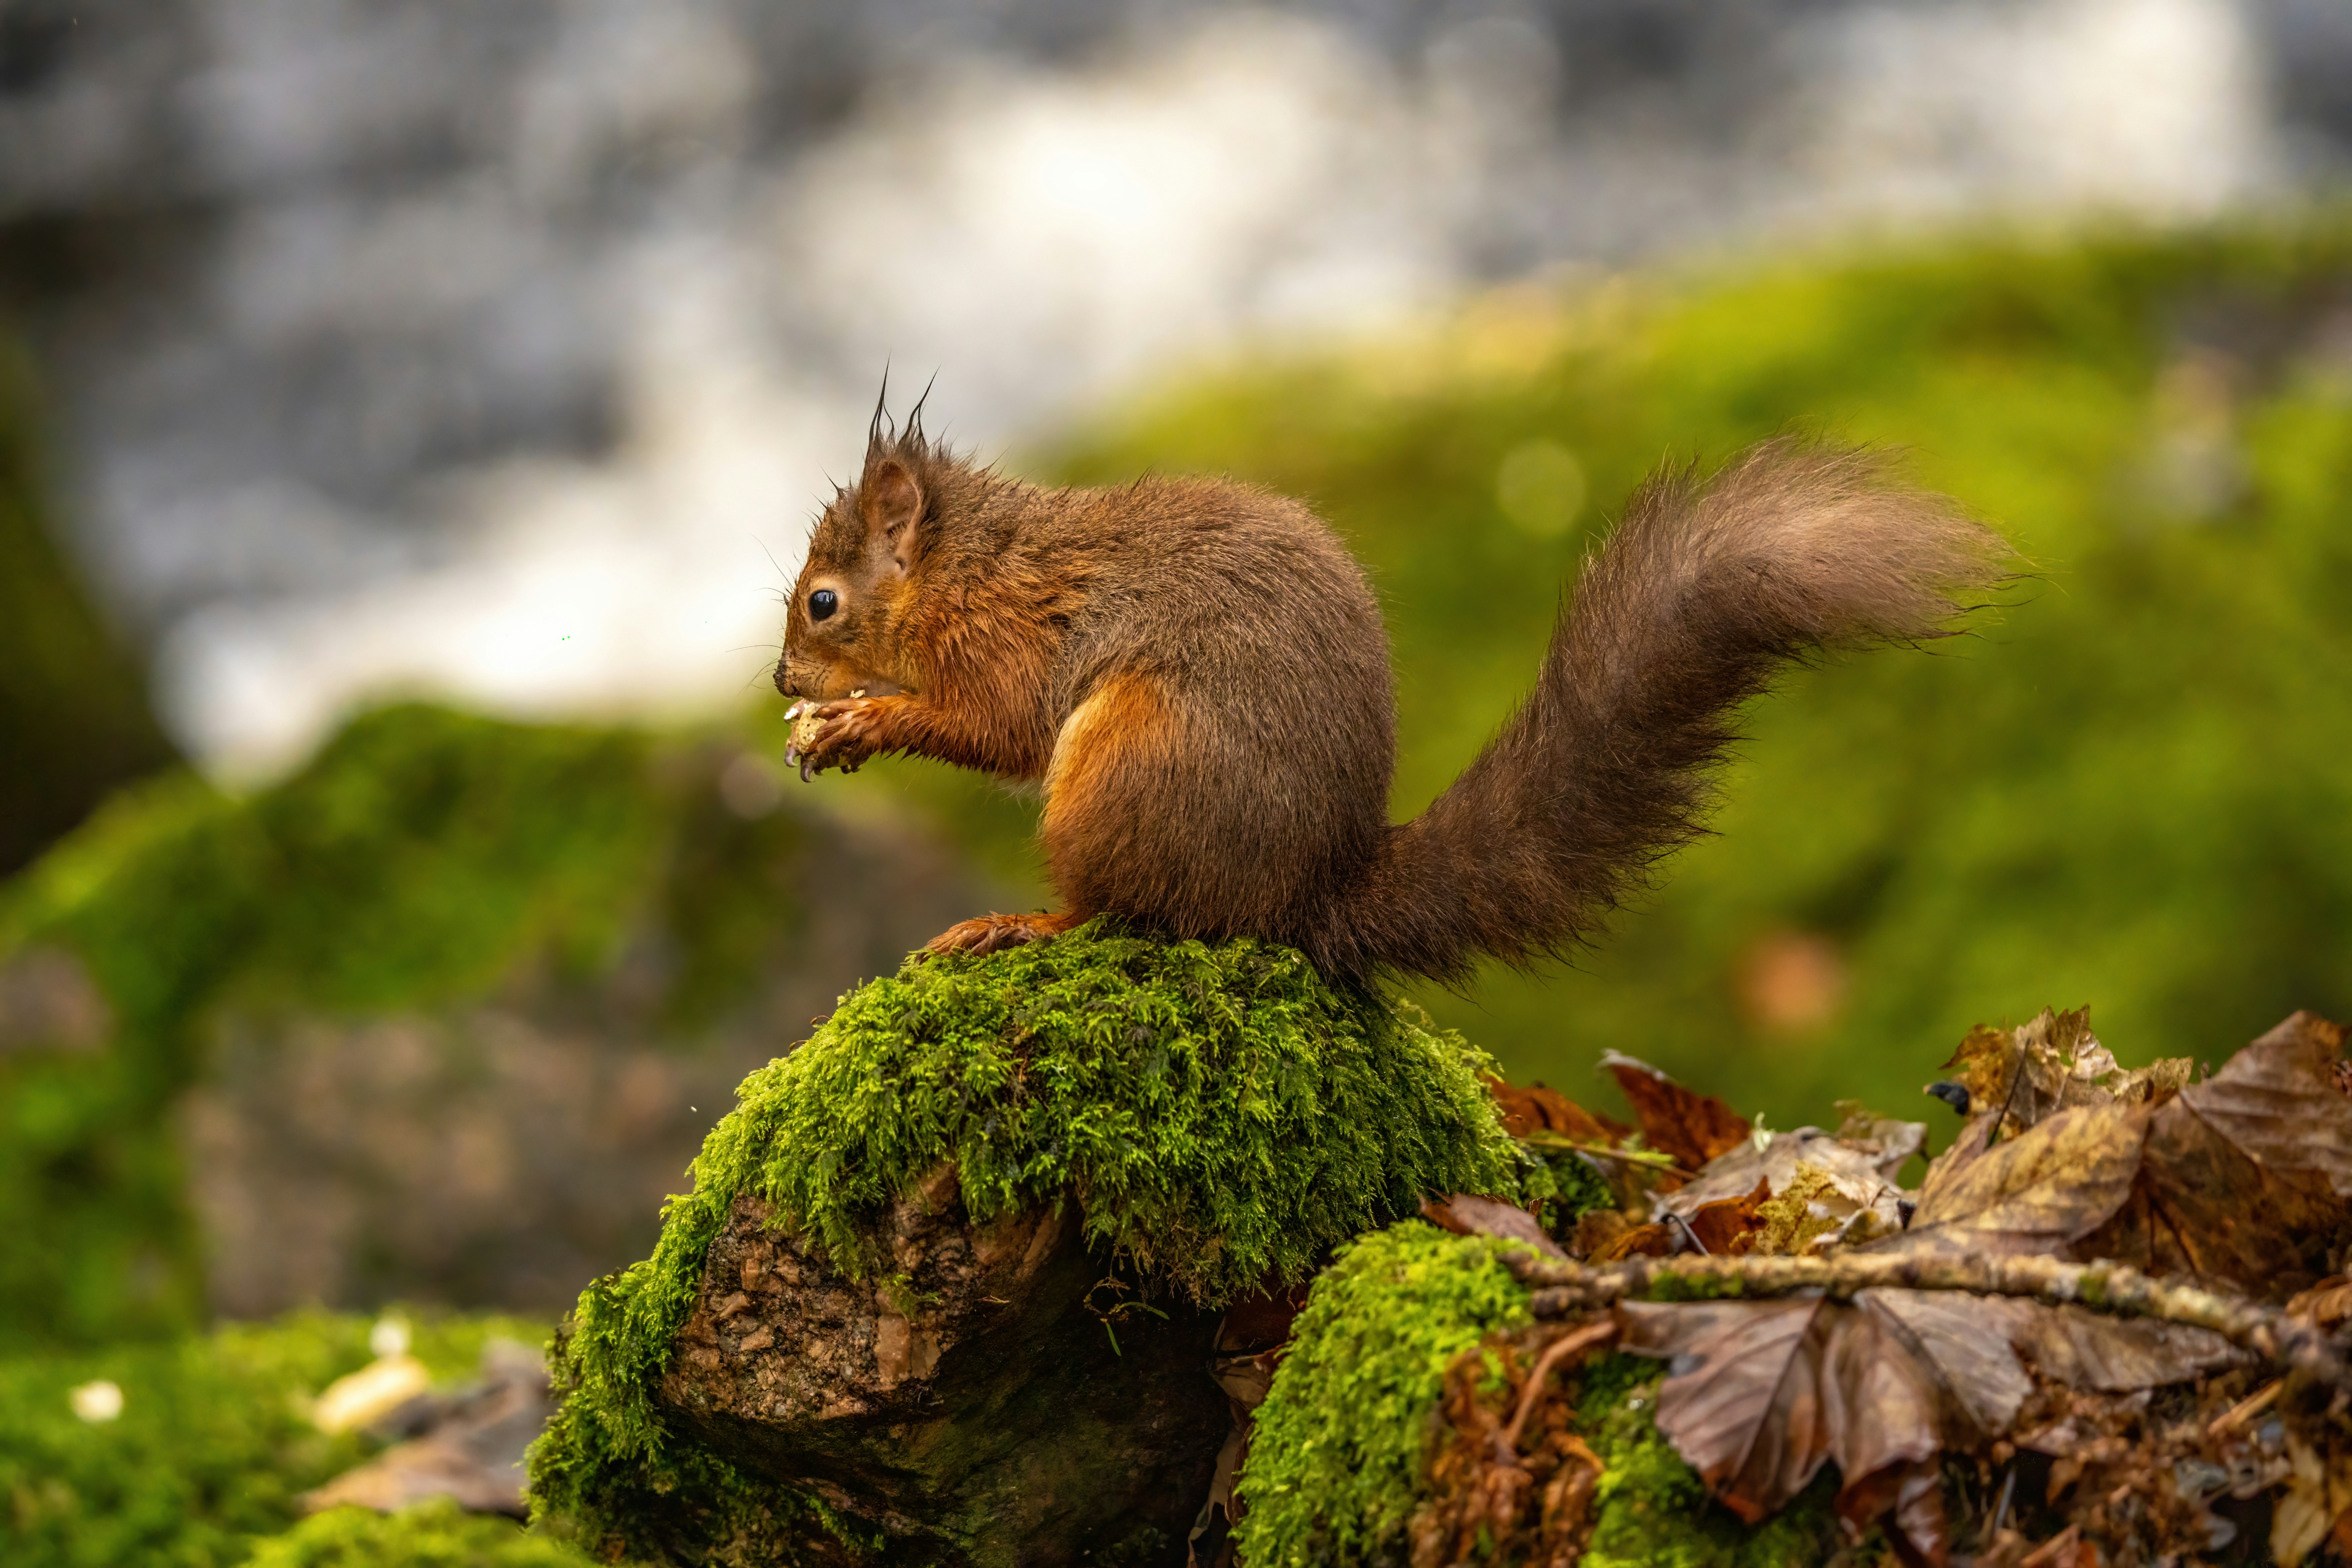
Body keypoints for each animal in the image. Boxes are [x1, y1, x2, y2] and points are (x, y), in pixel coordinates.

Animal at [773, 406, 2002, 986]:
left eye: (822, 603)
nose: (780, 679)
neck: (968, 570)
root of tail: (1310, 894)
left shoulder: (1011, 647)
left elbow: (998, 729)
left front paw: (858, 720)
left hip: (1128, 764)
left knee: (1126, 916)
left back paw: (1014, 926)